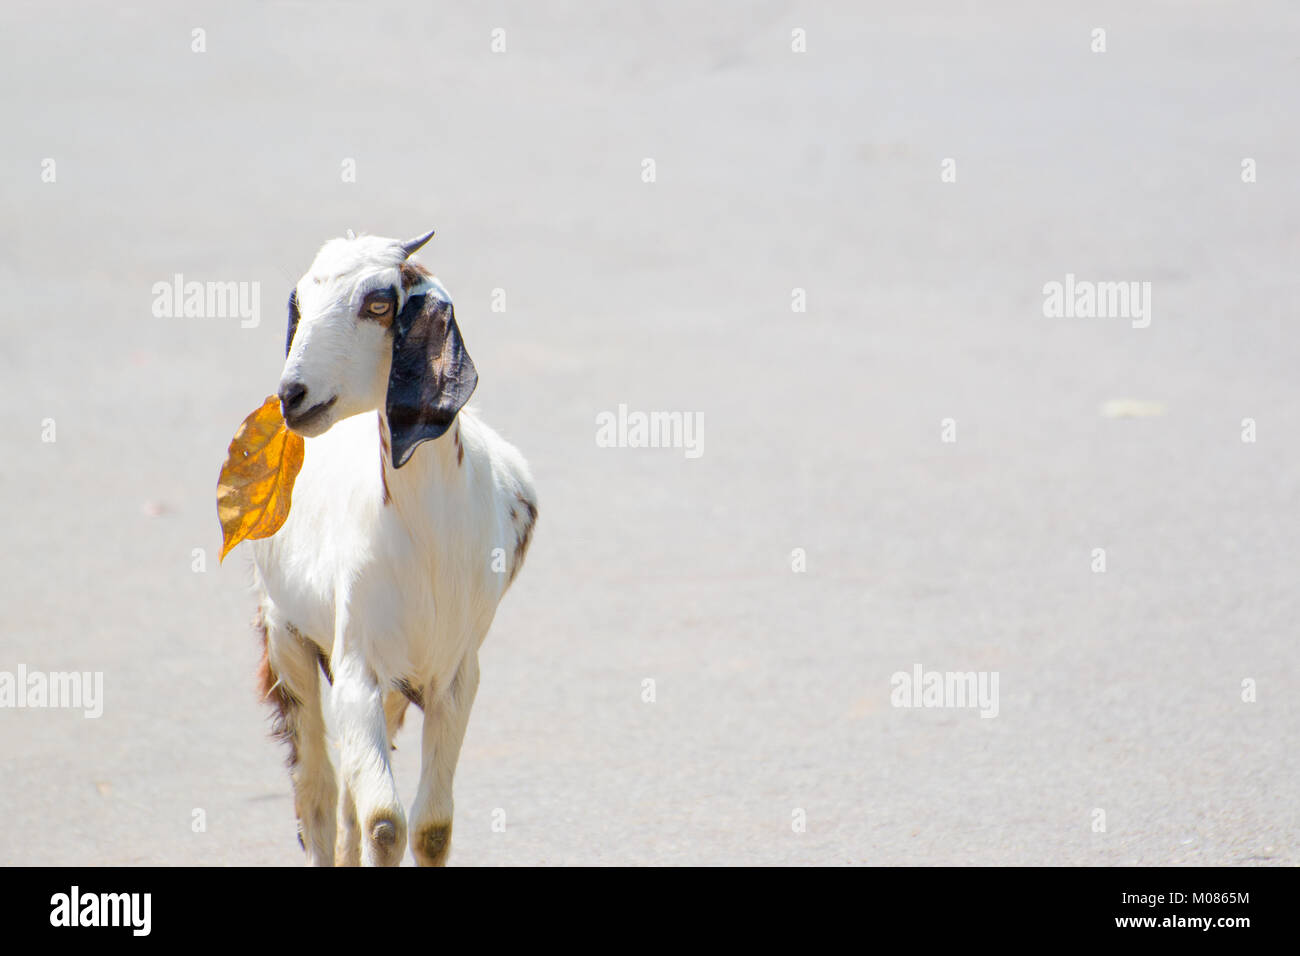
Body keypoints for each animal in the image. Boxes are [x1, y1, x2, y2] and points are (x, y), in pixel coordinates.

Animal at [249, 230, 537, 866]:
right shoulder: (357, 663)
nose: (291, 395)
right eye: (300, 303)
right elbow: (384, 821)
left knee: (346, 803)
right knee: (318, 798)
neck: (428, 538)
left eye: (378, 304)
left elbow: (429, 827)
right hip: (288, 638)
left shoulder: (454, 675)